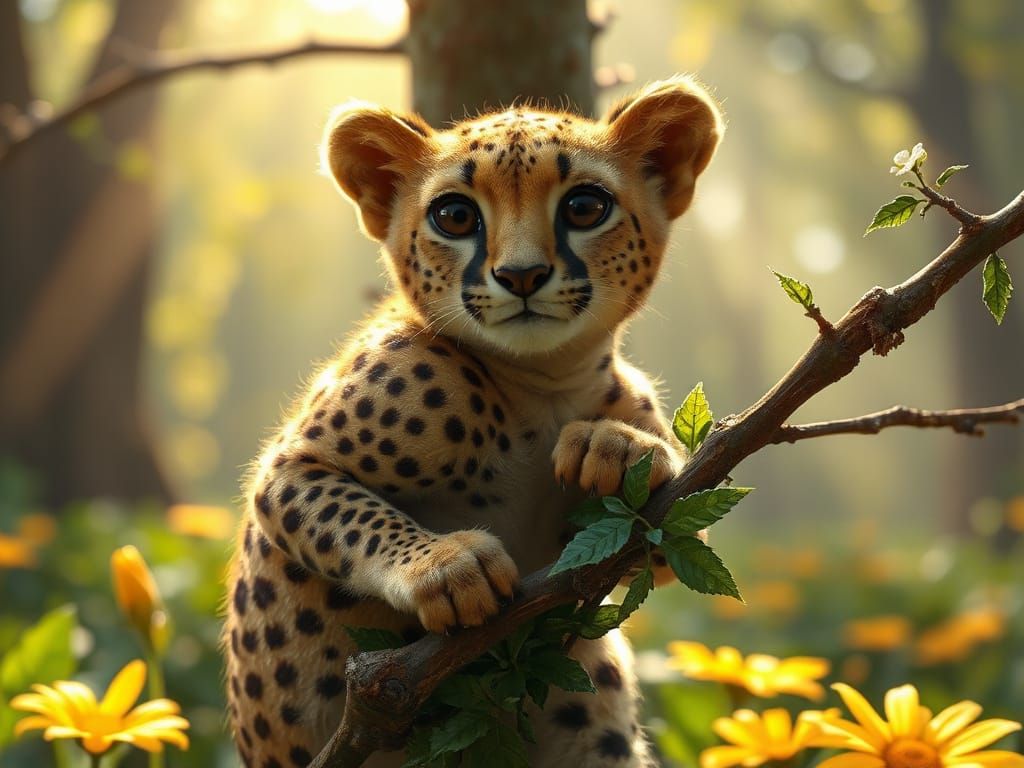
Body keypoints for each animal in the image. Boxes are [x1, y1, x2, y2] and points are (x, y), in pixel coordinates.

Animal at [223, 75, 723, 768]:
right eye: (454, 216)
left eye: (585, 207)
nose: (521, 275)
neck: (542, 383)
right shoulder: (289, 469)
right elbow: (350, 518)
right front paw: (446, 566)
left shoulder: (645, 547)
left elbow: (668, 535)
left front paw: (618, 446)